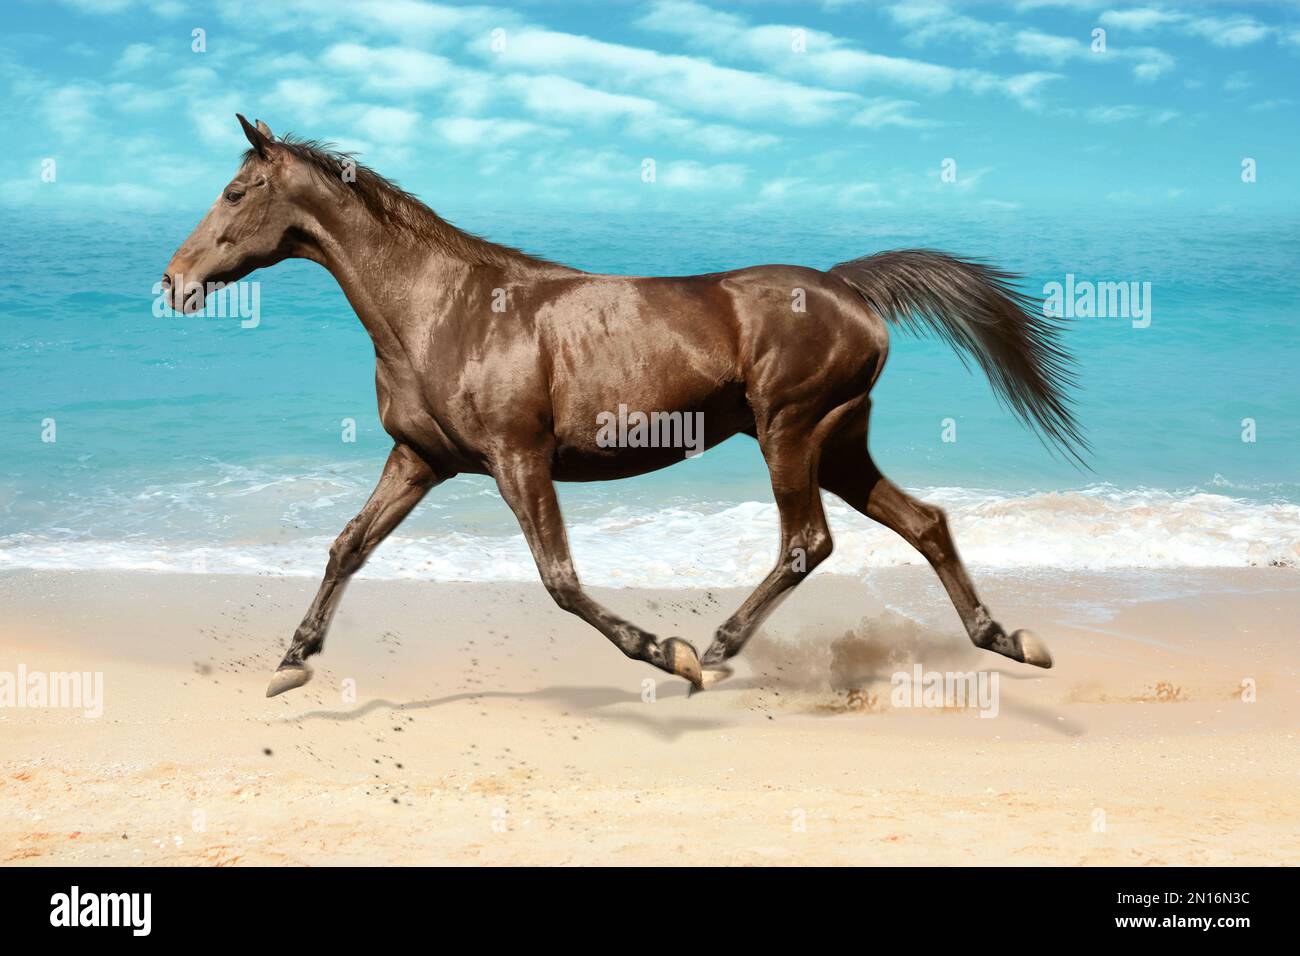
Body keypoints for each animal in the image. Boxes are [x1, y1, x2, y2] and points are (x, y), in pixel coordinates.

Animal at [162, 115, 1084, 699]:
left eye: (236, 193)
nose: (174, 281)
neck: (443, 307)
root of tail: (846, 287)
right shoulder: (419, 459)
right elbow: (347, 547)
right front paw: (291, 662)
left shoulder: (518, 458)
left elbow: (560, 580)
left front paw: (667, 655)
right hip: (837, 440)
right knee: (924, 521)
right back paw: (1008, 640)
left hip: (791, 430)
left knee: (808, 542)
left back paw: (716, 649)